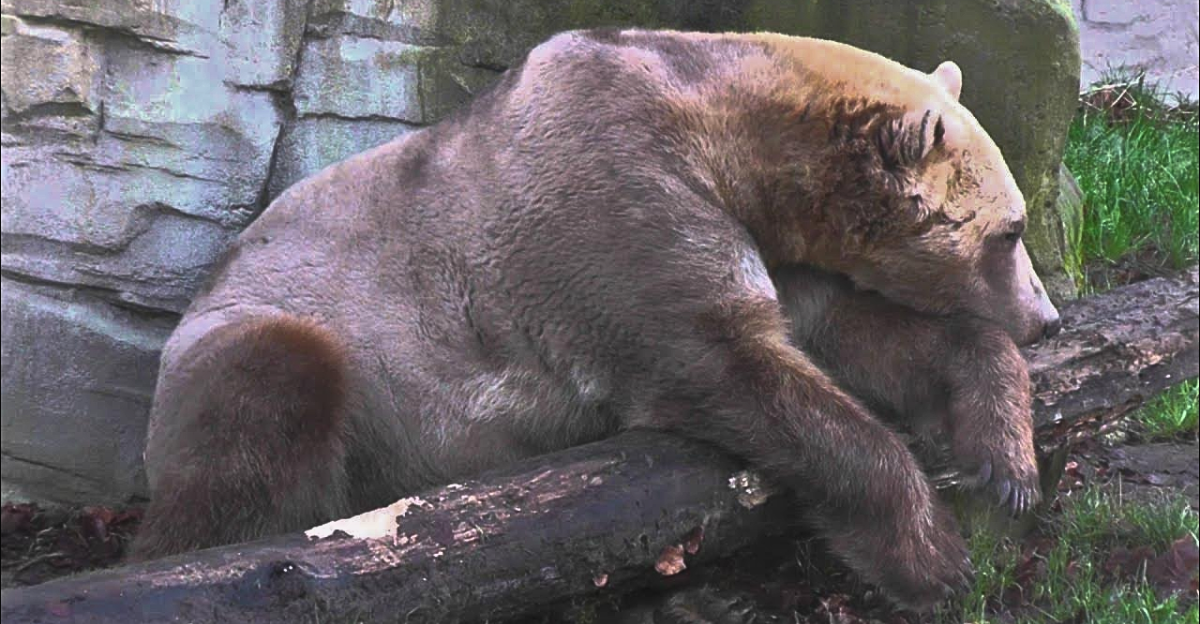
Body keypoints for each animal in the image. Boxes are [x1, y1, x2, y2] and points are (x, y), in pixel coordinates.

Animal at [131, 29, 1060, 611]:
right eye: (1010, 231)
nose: (1048, 318)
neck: (737, 146)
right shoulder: (617, 202)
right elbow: (728, 362)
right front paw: (934, 558)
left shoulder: (777, 244)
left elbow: (853, 332)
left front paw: (1005, 463)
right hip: (276, 334)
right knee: (259, 415)